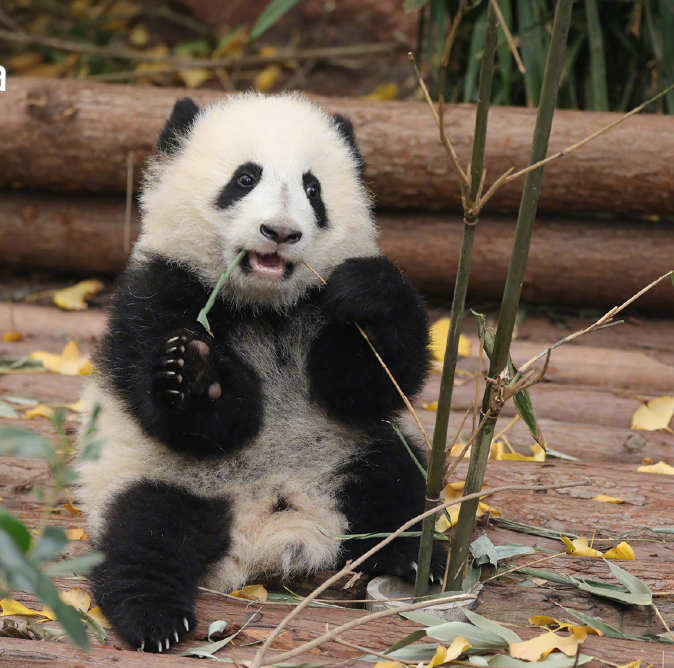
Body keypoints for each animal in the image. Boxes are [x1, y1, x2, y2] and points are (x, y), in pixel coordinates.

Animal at [76, 92, 446, 653]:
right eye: (245, 179)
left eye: (313, 188)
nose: (280, 232)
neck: (264, 308)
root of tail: (270, 532)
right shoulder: (155, 295)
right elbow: (186, 417)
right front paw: (194, 370)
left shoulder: (317, 311)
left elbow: (371, 384)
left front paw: (370, 299)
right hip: (154, 475)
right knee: (144, 531)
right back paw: (153, 617)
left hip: (350, 454)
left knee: (397, 485)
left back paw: (413, 555)